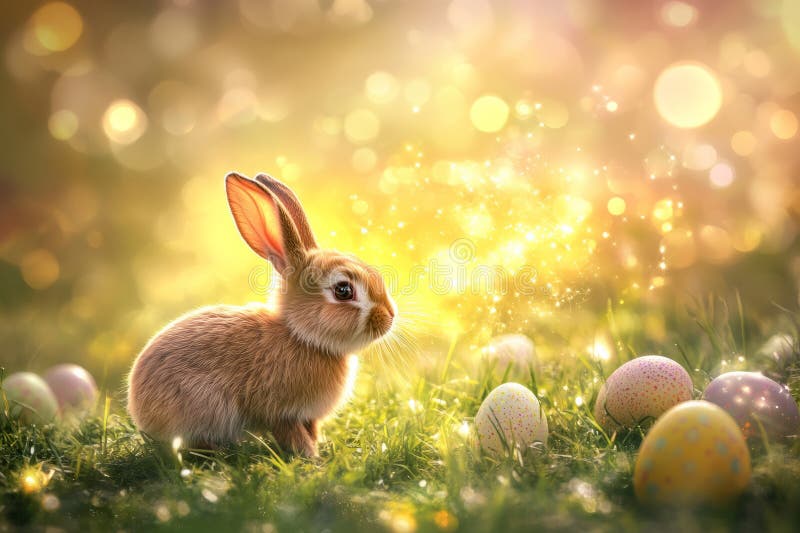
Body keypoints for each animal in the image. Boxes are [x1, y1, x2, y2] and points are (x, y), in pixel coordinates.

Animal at [127, 172, 396, 456]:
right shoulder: (280, 412)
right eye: (343, 290)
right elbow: (294, 436)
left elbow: (311, 431)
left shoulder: (307, 416)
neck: (301, 337)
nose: (390, 316)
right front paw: (312, 459)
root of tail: (139, 408)